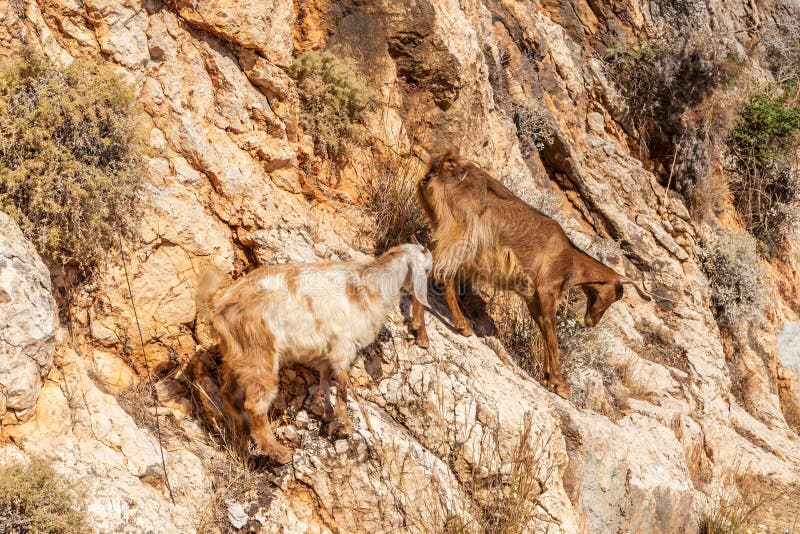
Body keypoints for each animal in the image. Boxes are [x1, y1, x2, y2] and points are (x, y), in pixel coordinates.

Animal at [196, 243, 433, 463]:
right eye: (426, 267)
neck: (370, 286)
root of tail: (218, 308)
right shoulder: (343, 346)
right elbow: (343, 384)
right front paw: (345, 424)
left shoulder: (328, 352)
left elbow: (325, 380)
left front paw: (327, 413)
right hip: (260, 355)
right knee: (255, 404)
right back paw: (279, 452)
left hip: (237, 357)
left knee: (230, 392)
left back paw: (244, 432)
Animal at [410, 150, 650, 398]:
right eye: (616, 294)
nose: (591, 322)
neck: (571, 260)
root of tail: (440, 169)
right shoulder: (546, 289)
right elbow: (552, 333)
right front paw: (560, 384)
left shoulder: (532, 297)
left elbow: (544, 329)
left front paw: (549, 378)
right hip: (460, 234)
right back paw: (425, 332)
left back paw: (456, 325)